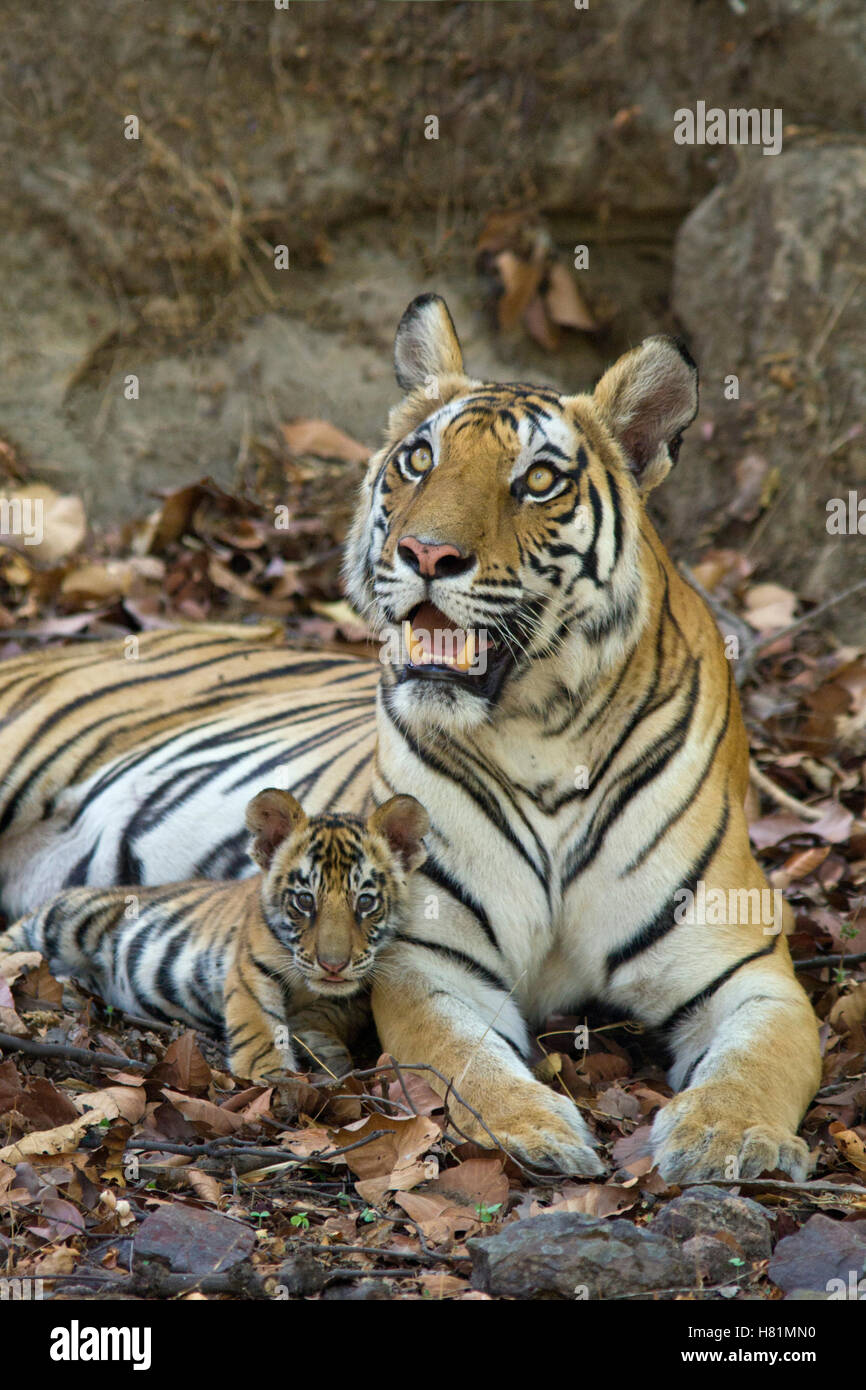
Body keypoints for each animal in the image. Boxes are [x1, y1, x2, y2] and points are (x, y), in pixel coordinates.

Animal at [0, 790, 428, 1081]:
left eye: (366, 902)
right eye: (304, 900)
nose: (333, 965)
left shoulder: (355, 992)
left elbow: (331, 1011)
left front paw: (320, 1044)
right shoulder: (250, 970)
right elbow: (260, 1028)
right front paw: (272, 1076)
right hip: (66, 920)